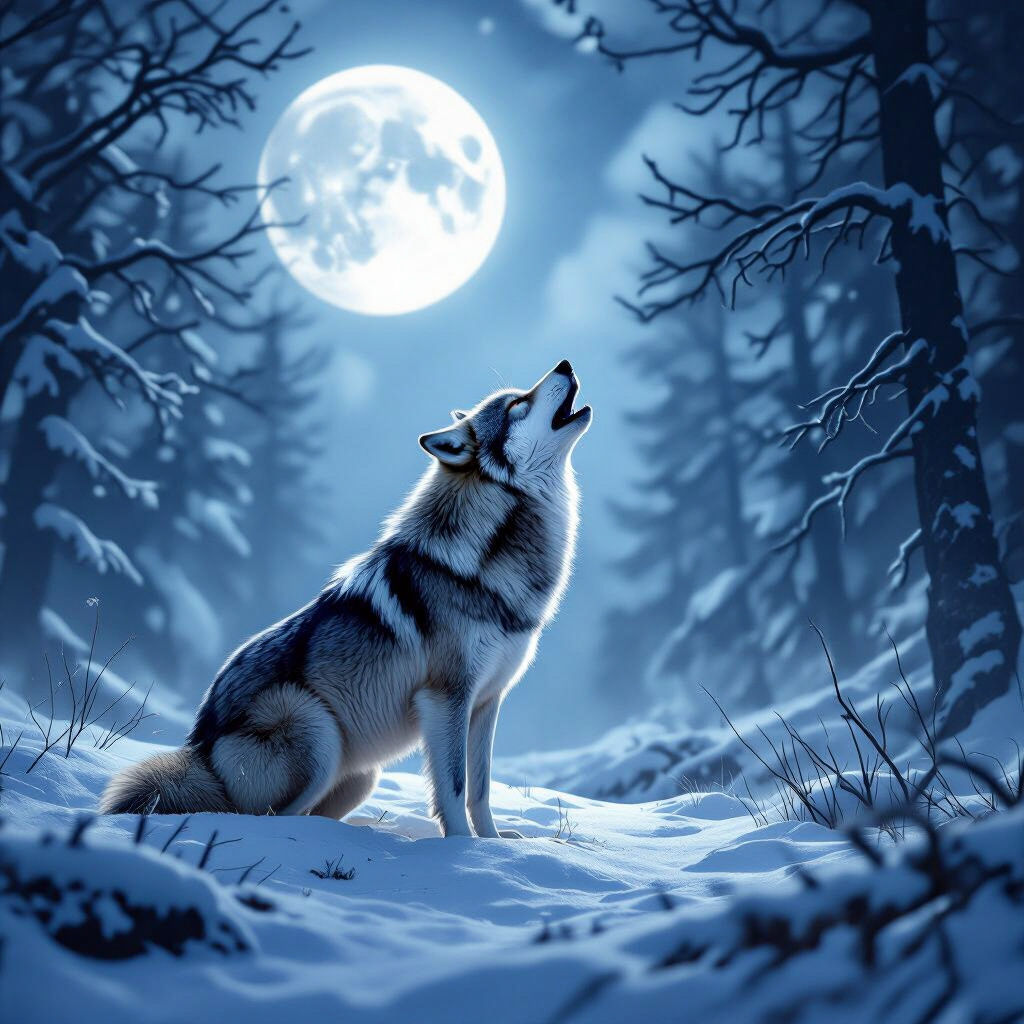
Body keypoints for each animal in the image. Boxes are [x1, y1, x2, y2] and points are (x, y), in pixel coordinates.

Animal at [100, 361, 591, 837]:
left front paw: (495, 847)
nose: (565, 364)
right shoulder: (445, 699)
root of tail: (199, 747)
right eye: (516, 405)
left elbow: (481, 790)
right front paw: (463, 851)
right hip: (315, 729)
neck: (482, 558)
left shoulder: (487, 702)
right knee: (269, 819)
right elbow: (453, 789)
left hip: (361, 775)